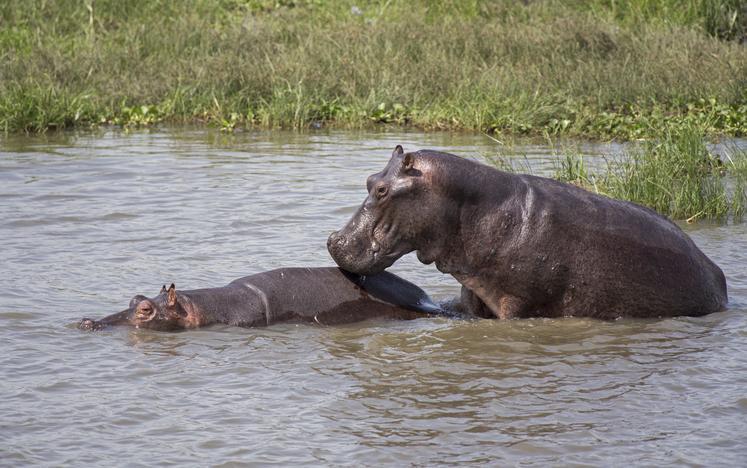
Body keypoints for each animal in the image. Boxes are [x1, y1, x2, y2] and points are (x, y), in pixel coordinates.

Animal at [327, 146, 728, 319]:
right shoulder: (473, 292)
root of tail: (717, 275)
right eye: (370, 179)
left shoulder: (517, 304)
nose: (334, 241)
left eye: (382, 190)